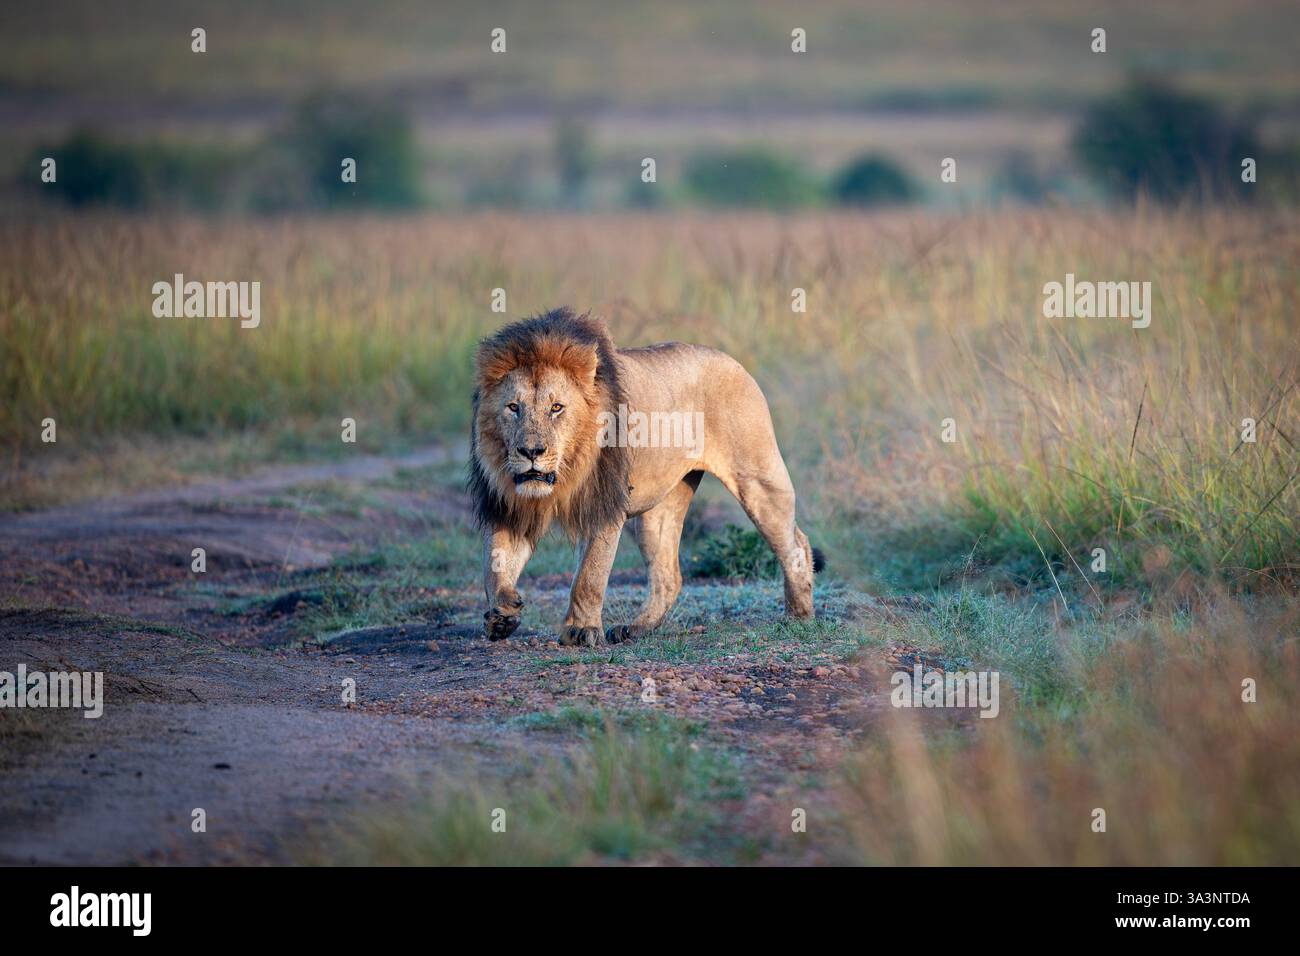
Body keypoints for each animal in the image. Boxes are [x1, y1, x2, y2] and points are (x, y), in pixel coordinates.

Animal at [469, 308, 822, 647]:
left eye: (557, 407)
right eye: (513, 407)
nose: (532, 451)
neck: (567, 470)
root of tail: (733, 361)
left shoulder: (604, 505)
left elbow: (589, 576)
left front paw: (581, 631)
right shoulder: (506, 506)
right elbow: (494, 563)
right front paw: (502, 613)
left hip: (757, 481)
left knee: (796, 544)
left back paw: (798, 615)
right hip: (658, 511)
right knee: (669, 576)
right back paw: (635, 628)